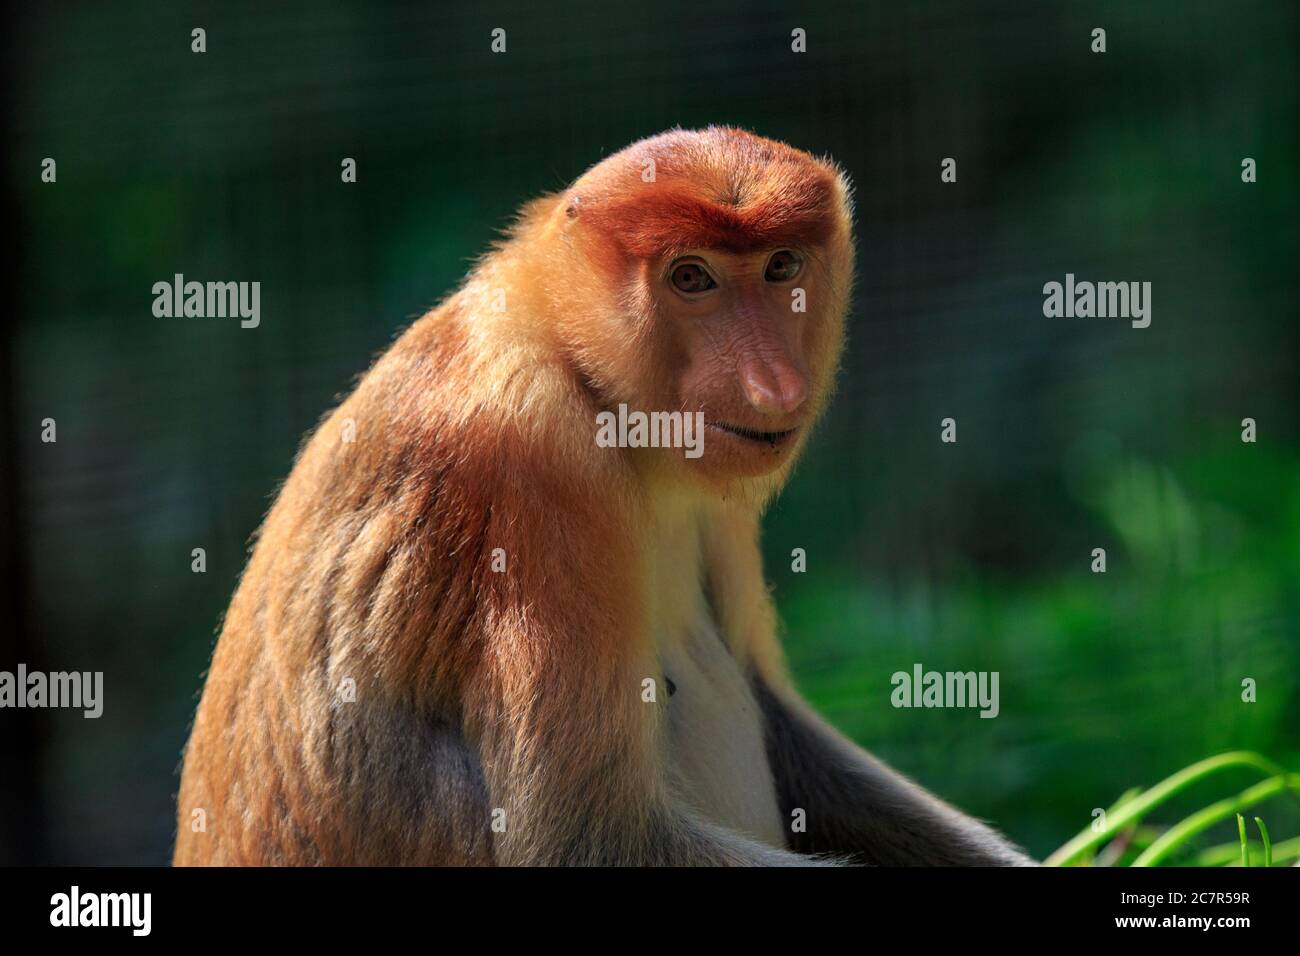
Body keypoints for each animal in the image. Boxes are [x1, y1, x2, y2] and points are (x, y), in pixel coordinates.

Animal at [174, 127, 1033, 866]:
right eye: (691, 277)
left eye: (783, 267)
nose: (775, 388)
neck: (581, 366)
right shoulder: (532, 463)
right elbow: (586, 838)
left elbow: (778, 720)